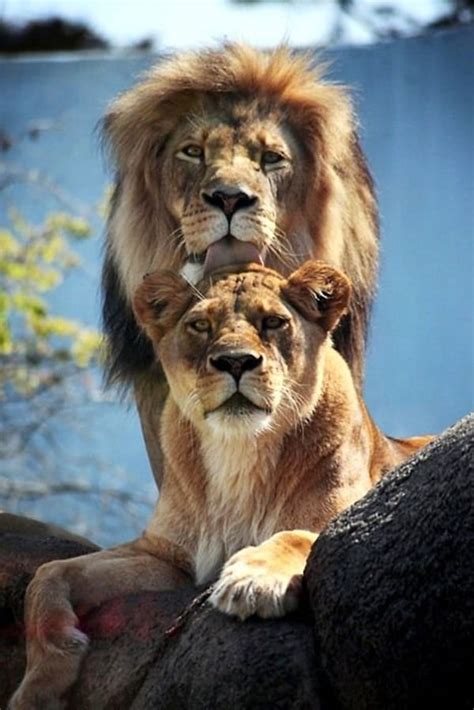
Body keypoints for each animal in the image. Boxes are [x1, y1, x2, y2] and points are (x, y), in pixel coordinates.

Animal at [11, 261, 431, 708]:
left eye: (273, 322)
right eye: (200, 325)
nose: (235, 361)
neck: (239, 448)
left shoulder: (339, 514)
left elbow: (293, 536)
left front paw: (253, 582)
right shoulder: (167, 557)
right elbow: (50, 574)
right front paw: (39, 685)